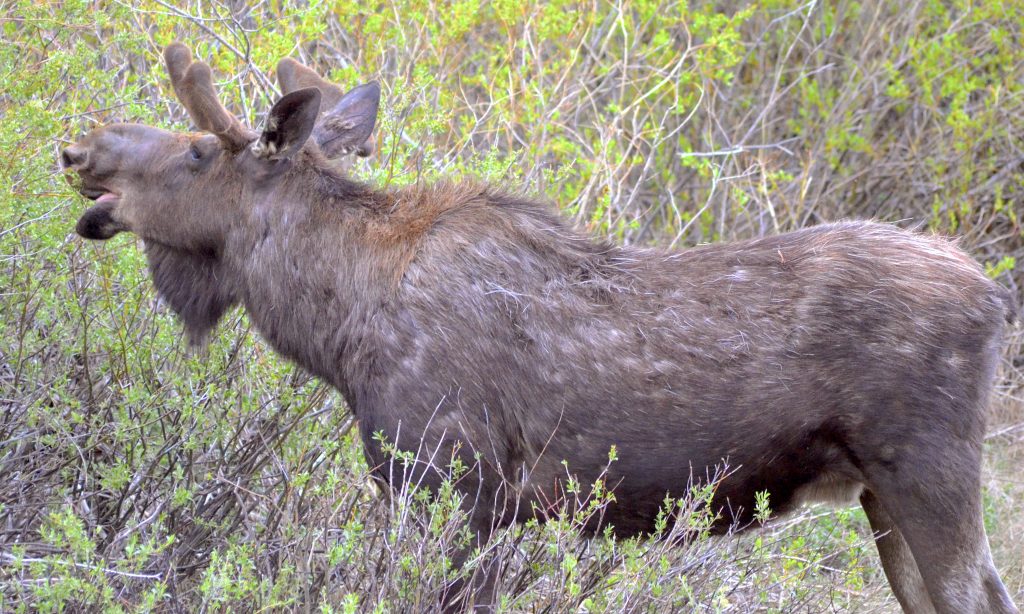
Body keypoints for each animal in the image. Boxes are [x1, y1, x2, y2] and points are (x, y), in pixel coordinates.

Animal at [62, 42, 1019, 613]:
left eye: (196, 151)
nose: (80, 148)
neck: (333, 326)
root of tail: (997, 301)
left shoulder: (449, 484)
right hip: (883, 494)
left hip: (925, 471)